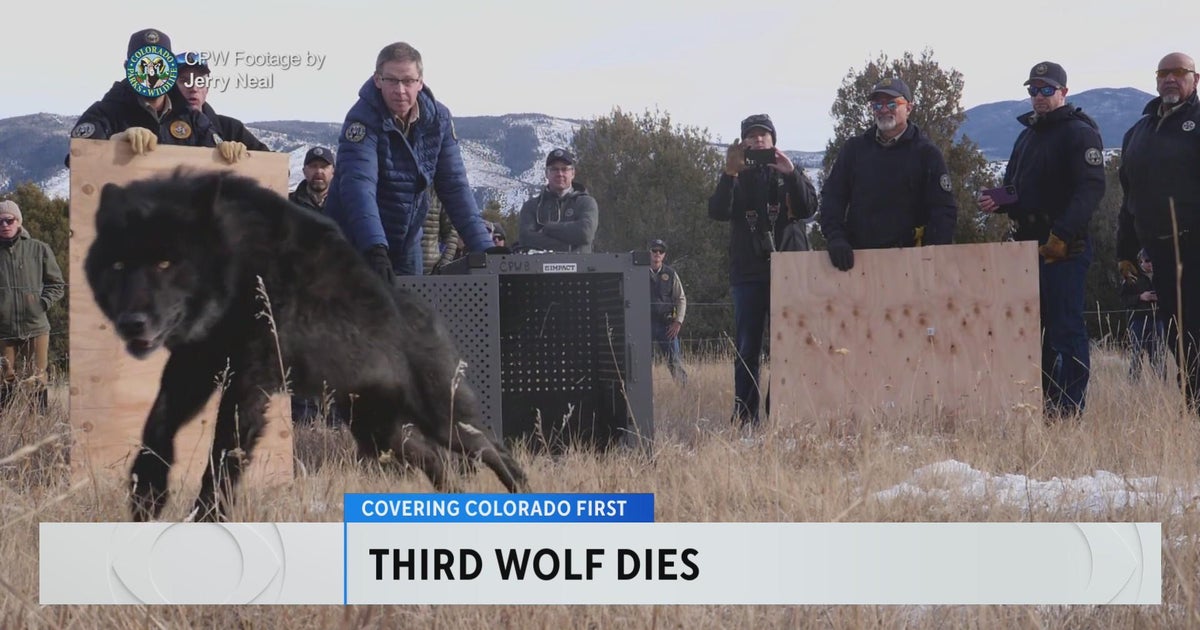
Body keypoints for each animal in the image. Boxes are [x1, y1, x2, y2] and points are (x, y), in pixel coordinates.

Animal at [85, 169, 528, 522]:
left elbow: (223, 458)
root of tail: (432, 318)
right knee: (439, 461)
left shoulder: (247, 383)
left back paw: (524, 492)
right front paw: (147, 493)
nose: (132, 323)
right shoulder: (196, 366)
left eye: (165, 263)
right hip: (382, 431)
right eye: (118, 265)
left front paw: (206, 519)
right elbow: (155, 426)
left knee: (493, 448)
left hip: (441, 423)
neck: (240, 259)